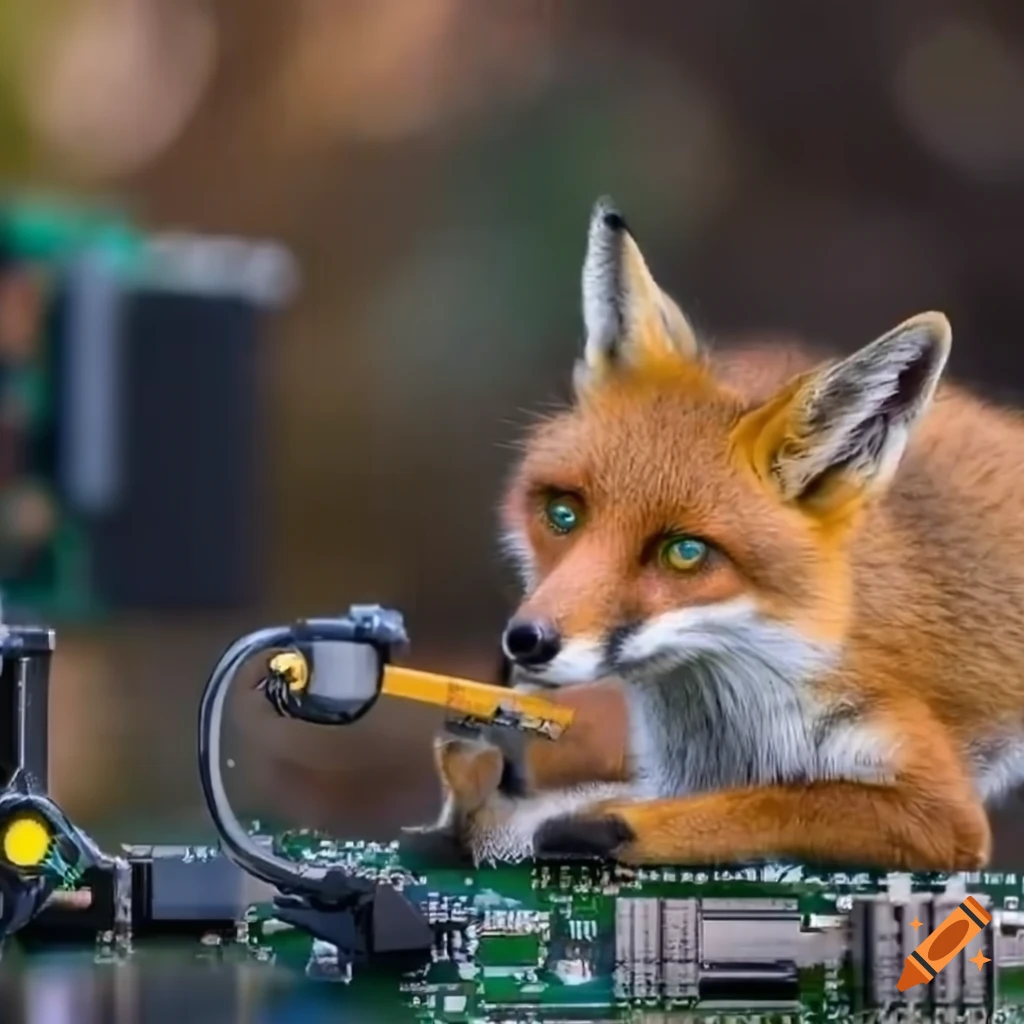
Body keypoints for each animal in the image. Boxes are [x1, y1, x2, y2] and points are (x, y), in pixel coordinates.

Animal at [408, 196, 1024, 873]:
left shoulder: (941, 808)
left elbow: (775, 802)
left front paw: (579, 826)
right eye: (564, 514)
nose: (526, 642)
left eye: (685, 552)